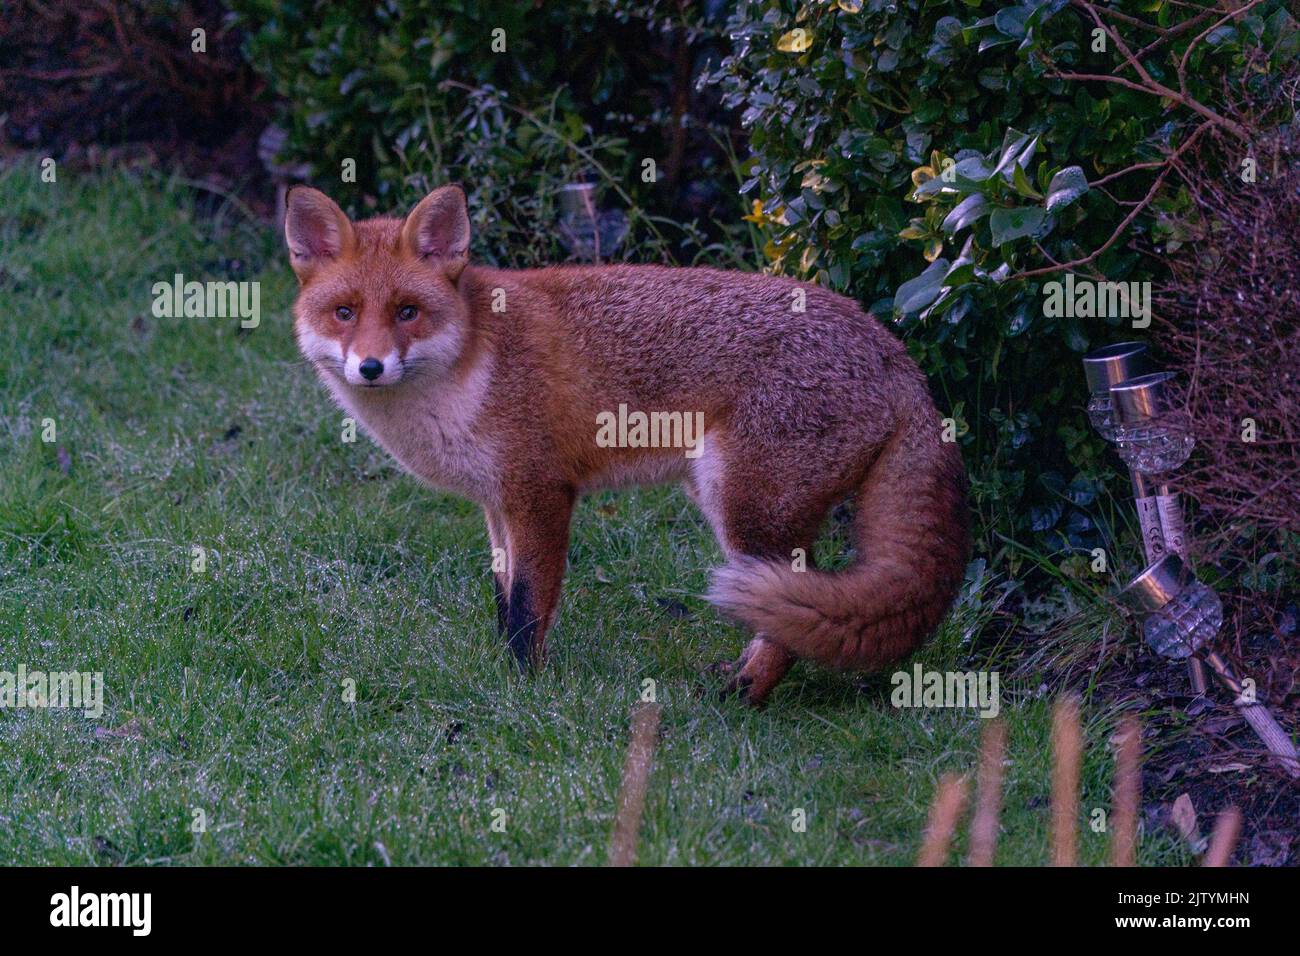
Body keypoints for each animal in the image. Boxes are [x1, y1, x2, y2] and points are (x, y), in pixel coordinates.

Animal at [284, 184, 969, 705]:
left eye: (407, 312)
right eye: (345, 313)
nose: (371, 368)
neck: (469, 367)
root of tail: (896, 353)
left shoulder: (541, 493)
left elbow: (528, 608)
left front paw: (522, 687)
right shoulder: (497, 503)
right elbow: (505, 600)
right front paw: (501, 671)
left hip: (744, 510)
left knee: (783, 621)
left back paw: (744, 694)